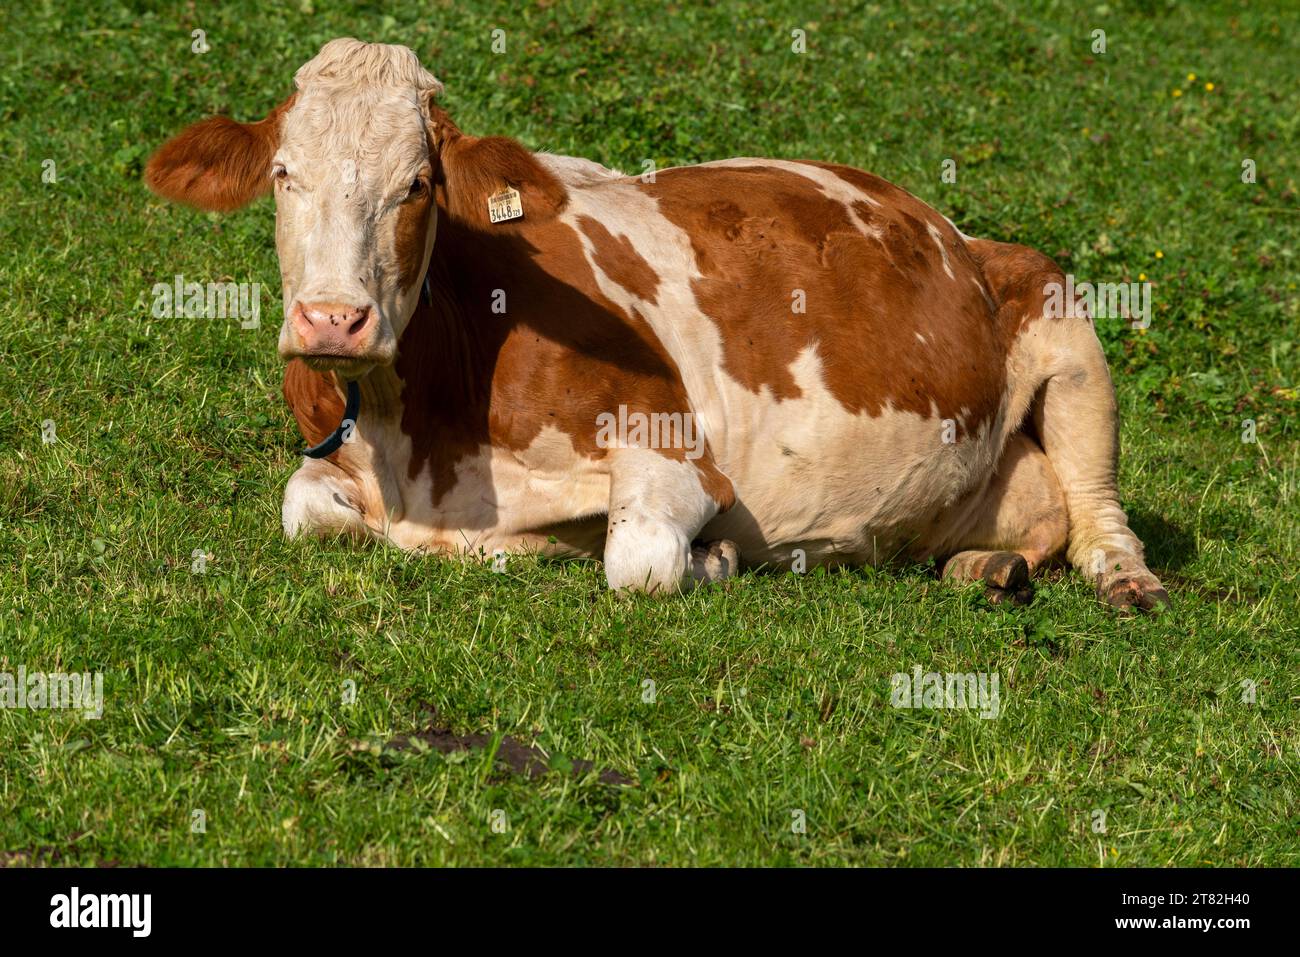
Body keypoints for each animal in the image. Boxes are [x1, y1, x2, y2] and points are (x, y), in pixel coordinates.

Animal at [145, 38, 1169, 611]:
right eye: (285, 174)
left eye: (418, 183)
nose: (334, 320)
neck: (423, 441)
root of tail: (951, 229)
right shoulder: (335, 453)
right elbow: (304, 512)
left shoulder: (678, 452)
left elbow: (639, 558)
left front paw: (717, 560)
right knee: (1035, 520)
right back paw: (984, 570)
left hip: (1063, 311)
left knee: (1096, 508)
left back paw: (1125, 581)